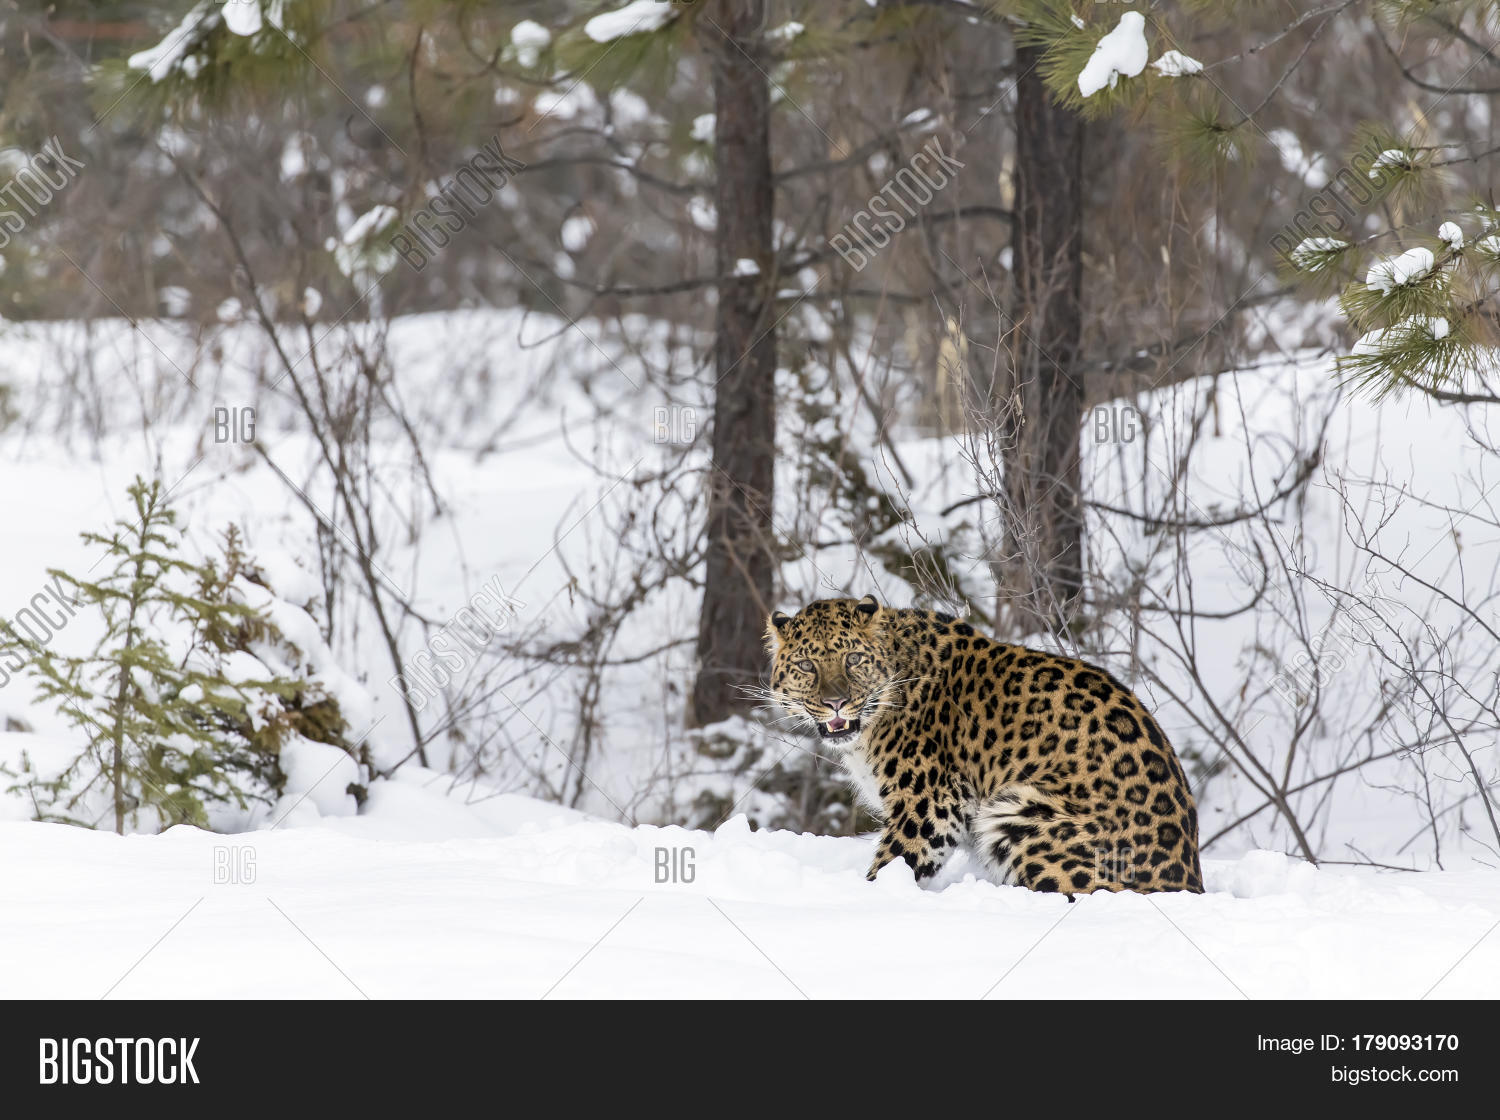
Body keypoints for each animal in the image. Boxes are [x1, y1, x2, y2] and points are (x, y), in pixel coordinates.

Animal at [763, 594, 1204, 895]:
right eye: (806, 665)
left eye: (853, 659)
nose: (835, 702)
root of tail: (1188, 879)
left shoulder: (929, 803)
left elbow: (894, 861)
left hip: (1018, 808)